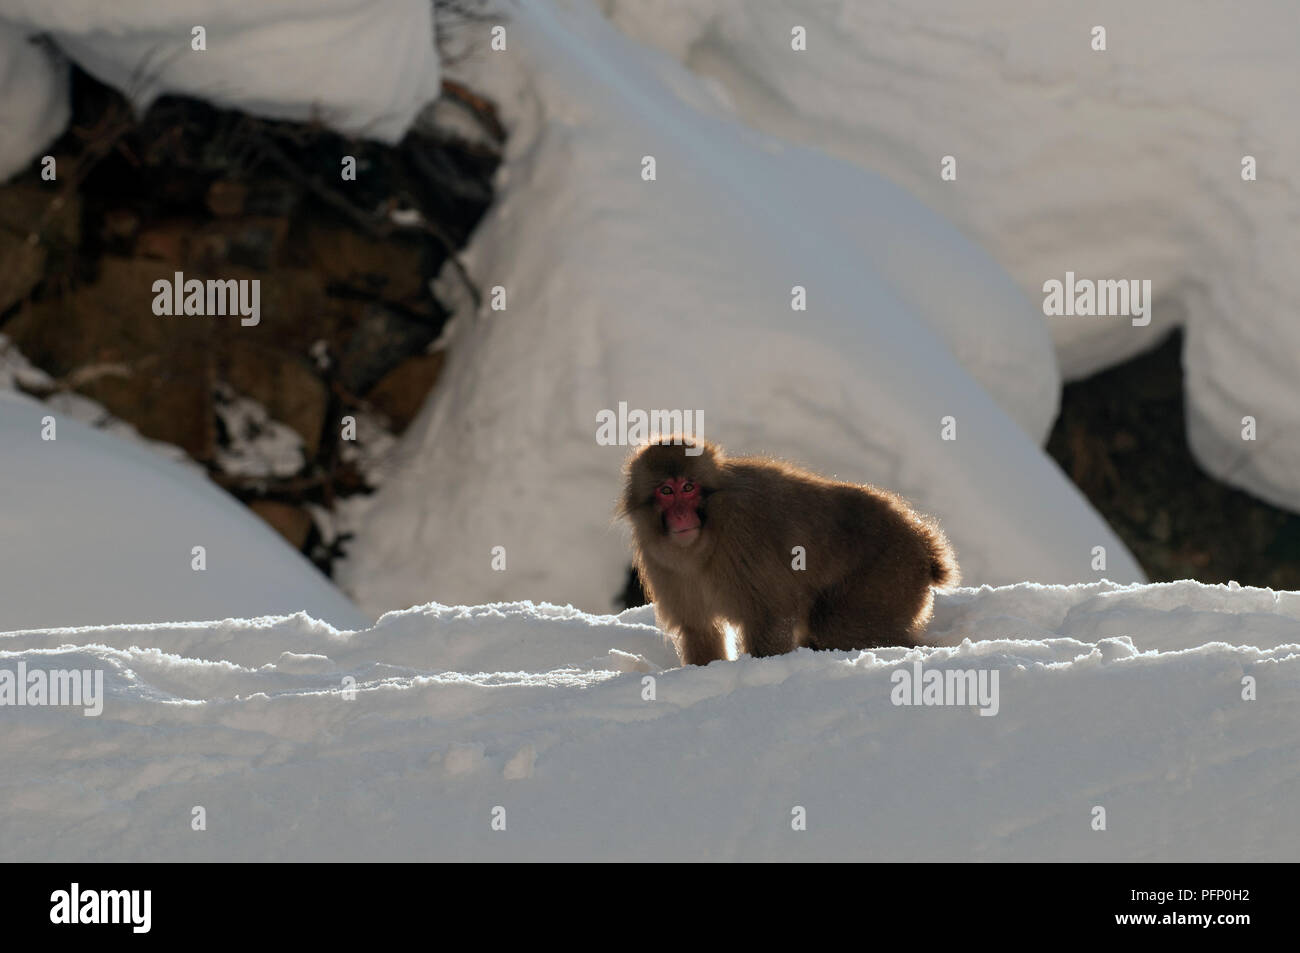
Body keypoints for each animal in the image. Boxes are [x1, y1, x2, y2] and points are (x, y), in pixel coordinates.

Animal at [620, 437, 959, 665]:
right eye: (666, 491)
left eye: (688, 488)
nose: (680, 515)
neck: (705, 538)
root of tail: (922, 538)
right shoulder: (663, 564)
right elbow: (700, 630)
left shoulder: (742, 533)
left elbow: (771, 617)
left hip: (892, 573)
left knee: (836, 627)